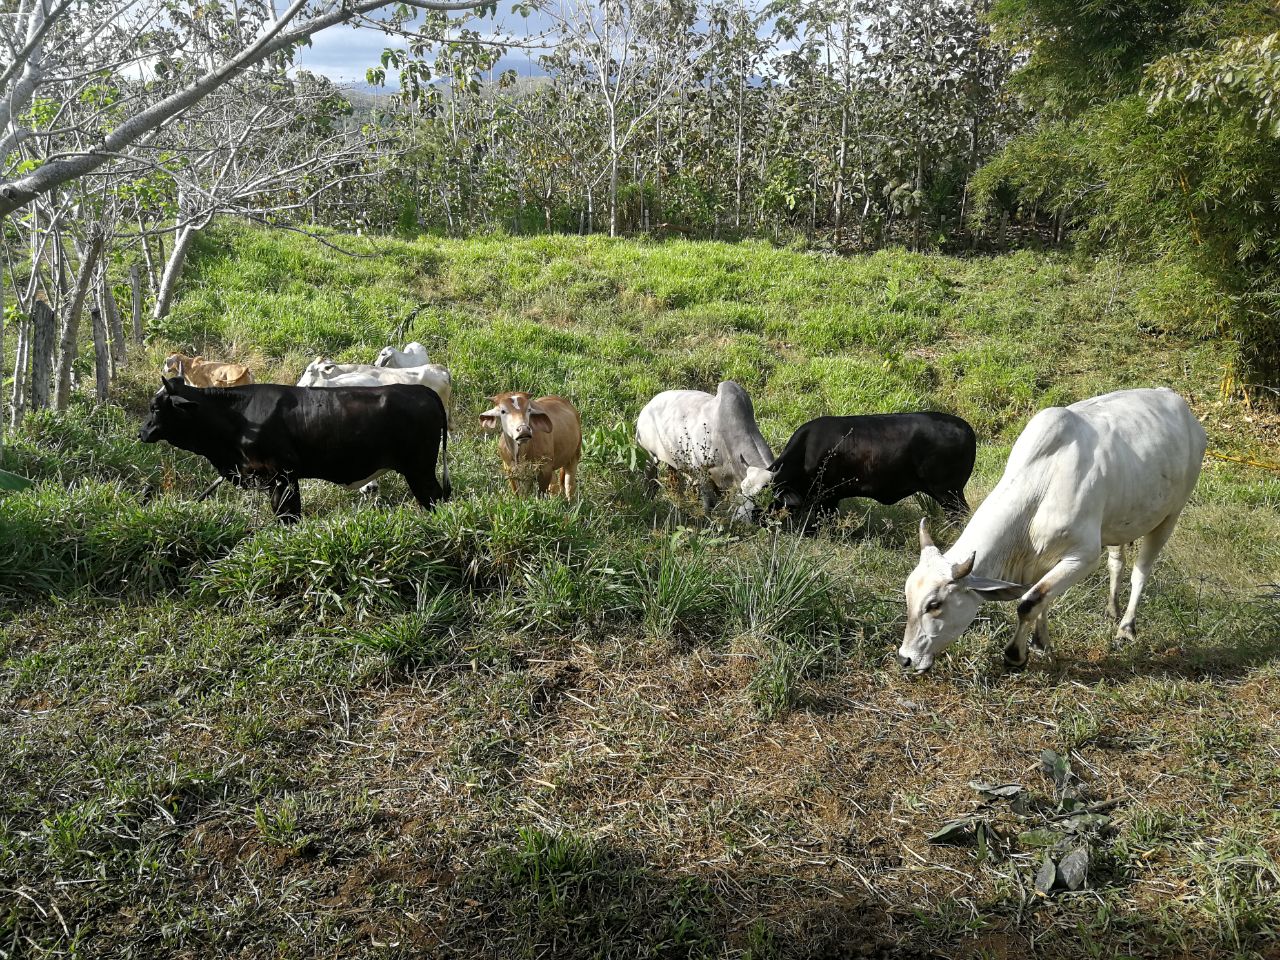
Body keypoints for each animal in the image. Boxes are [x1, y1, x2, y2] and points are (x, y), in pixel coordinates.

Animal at [138, 377, 450, 523]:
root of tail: (423, 391)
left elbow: (287, 514)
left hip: (420, 469)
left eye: (156, 407)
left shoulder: (282, 473)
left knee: (435, 499)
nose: (141, 432)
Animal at [635, 381, 774, 514]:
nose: (742, 516)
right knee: (651, 482)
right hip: (648, 457)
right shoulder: (702, 473)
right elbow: (709, 505)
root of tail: (647, 407)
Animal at [737, 412, 976, 524]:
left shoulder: (828, 497)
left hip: (949, 494)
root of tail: (966, 428)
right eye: (742, 492)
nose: (745, 519)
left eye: (764, 495)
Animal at [897, 387, 1206, 674]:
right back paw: (1112, 610)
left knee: (1142, 571)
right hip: (1120, 518)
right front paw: (1040, 643)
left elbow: (1029, 602)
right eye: (908, 597)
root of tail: (1175, 400)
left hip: (1171, 514)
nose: (905, 658)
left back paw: (1126, 628)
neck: (1042, 483)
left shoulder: (1083, 557)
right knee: (1117, 562)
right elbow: (1041, 598)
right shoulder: (1040, 560)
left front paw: (1015, 655)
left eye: (934, 604)